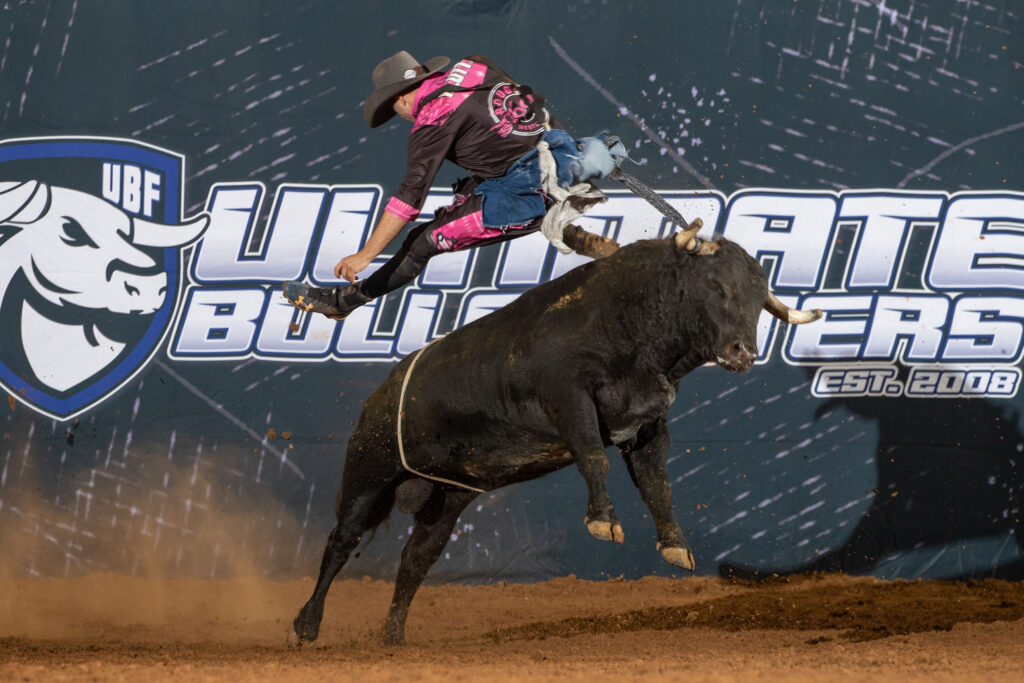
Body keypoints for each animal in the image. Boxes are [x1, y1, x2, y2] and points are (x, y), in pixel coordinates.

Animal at [290, 220, 820, 646]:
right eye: (714, 285)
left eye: (758, 300)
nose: (743, 351)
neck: (629, 320)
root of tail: (382, 392)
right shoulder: (568, 398)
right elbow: (593, 457)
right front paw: (603, 521)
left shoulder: (648, 423)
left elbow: (656, 484)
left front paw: (675, 546)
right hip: (369, 472)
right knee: (341, 541)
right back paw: (306, 626)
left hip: (448, 497)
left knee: (416, 560)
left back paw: (394, 634)